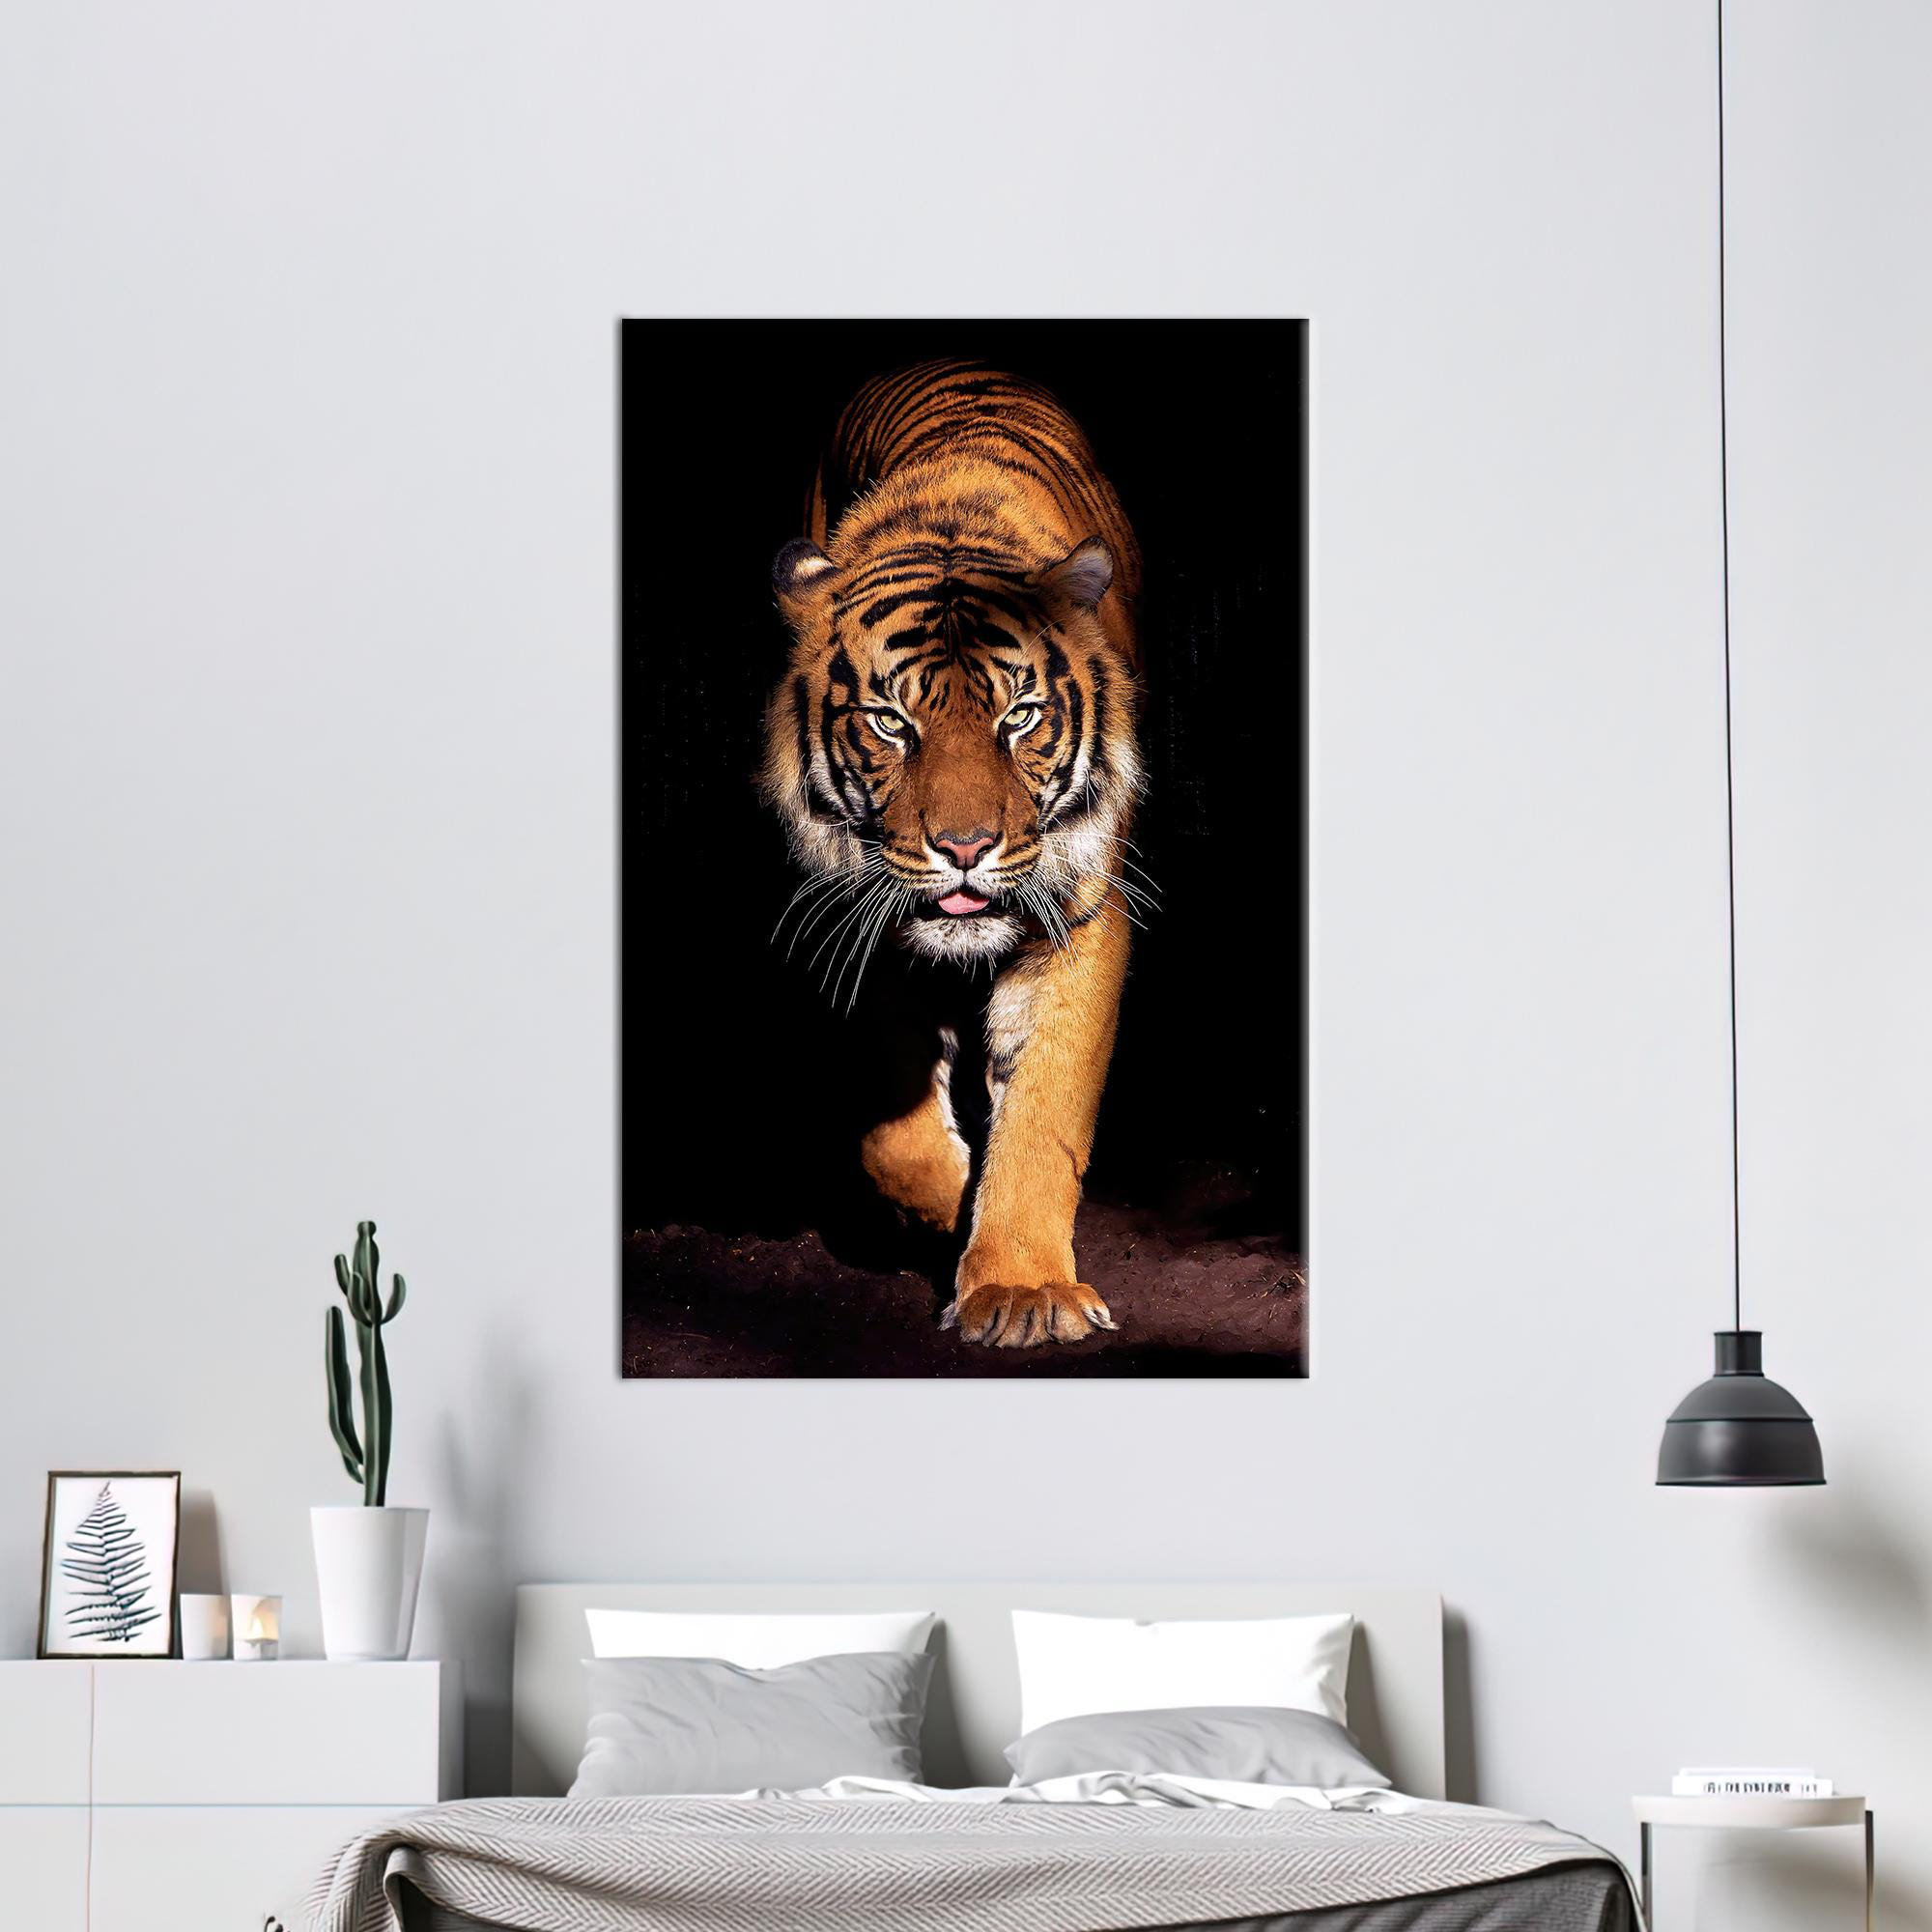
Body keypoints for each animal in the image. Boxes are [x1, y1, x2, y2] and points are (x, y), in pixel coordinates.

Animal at [761, 359, 1145, 1348]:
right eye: (893, 723)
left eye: (1020, 716)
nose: (966, 848)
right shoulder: (862, 911)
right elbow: (890, 1123)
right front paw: (943, 1205)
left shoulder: (1081, 912)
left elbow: (1045, 1110)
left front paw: (1021, 1289)